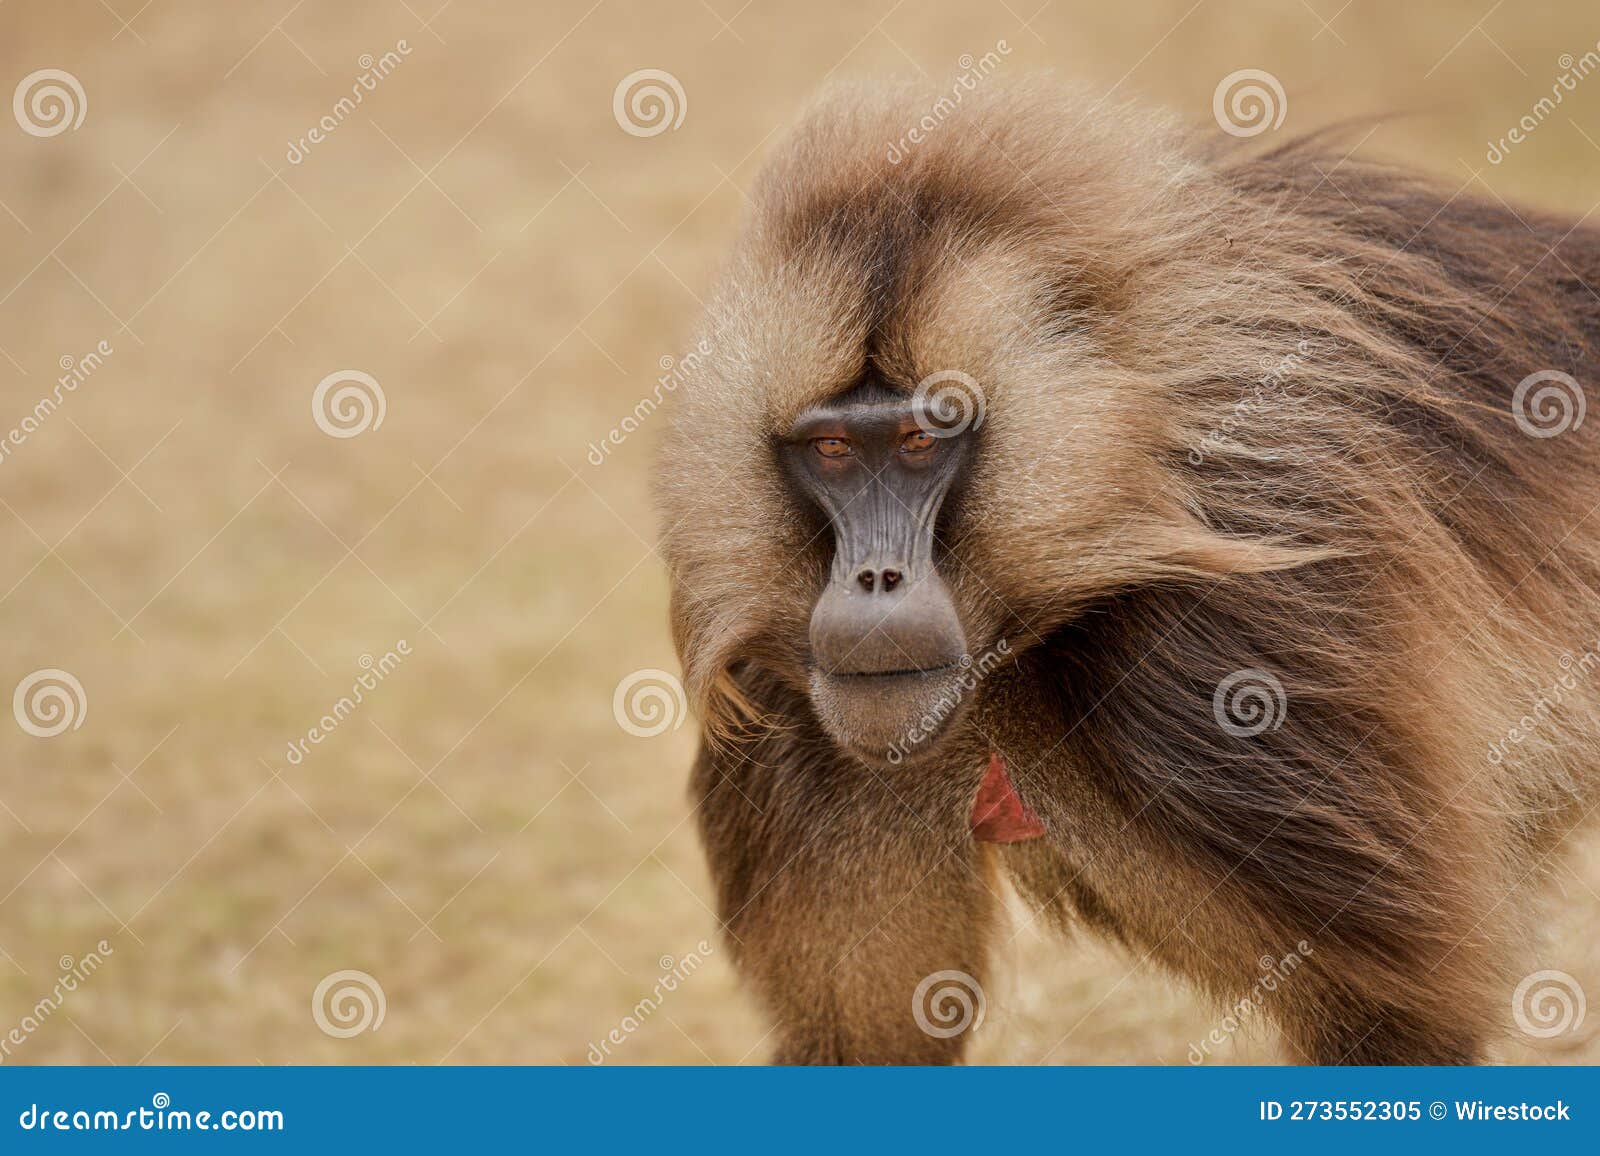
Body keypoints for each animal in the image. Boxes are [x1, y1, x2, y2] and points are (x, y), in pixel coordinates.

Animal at [653, 78, 1600, 1065]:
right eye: (834, 450)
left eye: (921, 439)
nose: (876, 581)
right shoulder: (796, 700)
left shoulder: (1231, 662)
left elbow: (1402, 1024)